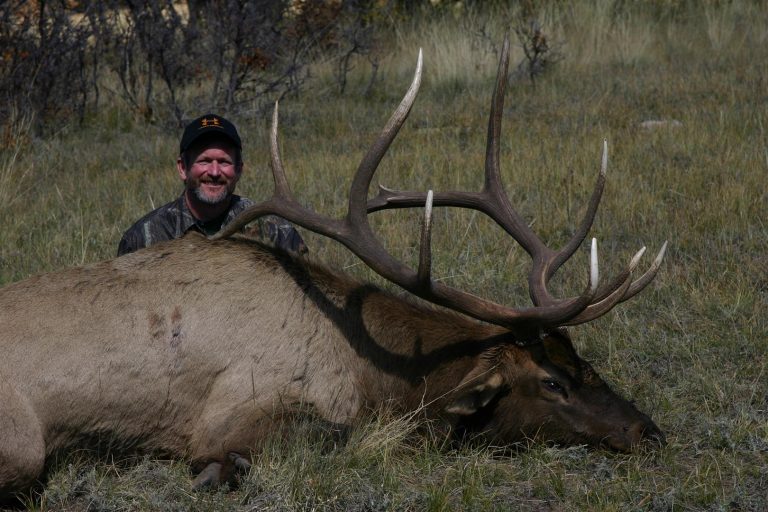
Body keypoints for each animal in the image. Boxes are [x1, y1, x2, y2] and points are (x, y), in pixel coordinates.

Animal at [0, 37, 667, 500]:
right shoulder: (235, 410)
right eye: (551, 382)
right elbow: (317, 439)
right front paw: (212, 474)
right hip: (23, 445)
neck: (375, 371)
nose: (648, 432)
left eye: (585, 361)